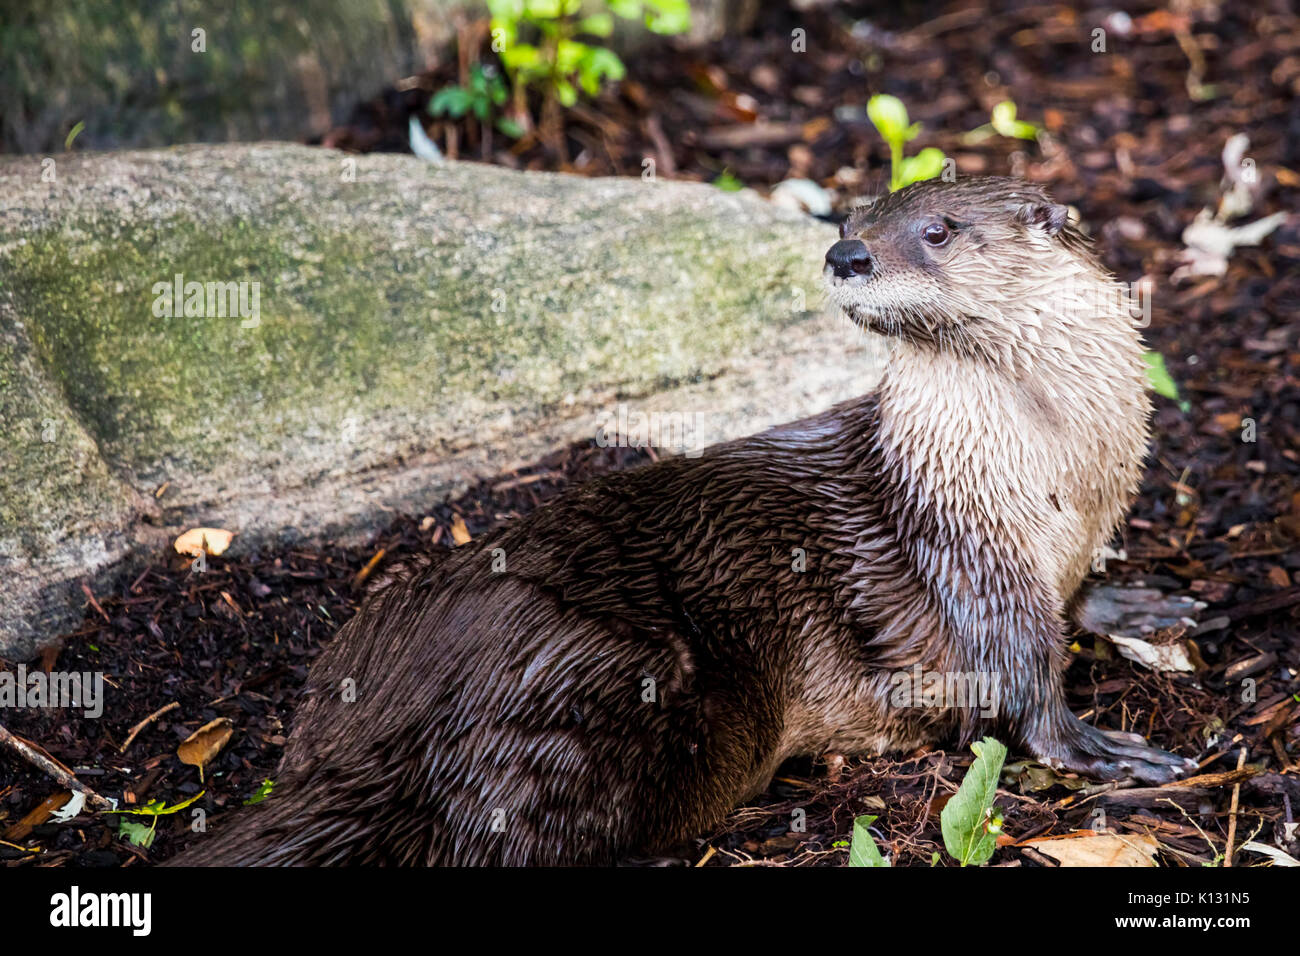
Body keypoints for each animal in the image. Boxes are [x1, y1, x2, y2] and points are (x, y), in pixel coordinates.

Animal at [169, 177, 1194, 867]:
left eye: (936, 230)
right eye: (850, 222)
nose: (847, 256)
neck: (1055, 477)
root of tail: (390, 708)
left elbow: (1078, 598)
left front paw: (1140, 608)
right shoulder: (972, 558)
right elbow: (1023, 686)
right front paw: (1107, 751)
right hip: (605, 685)